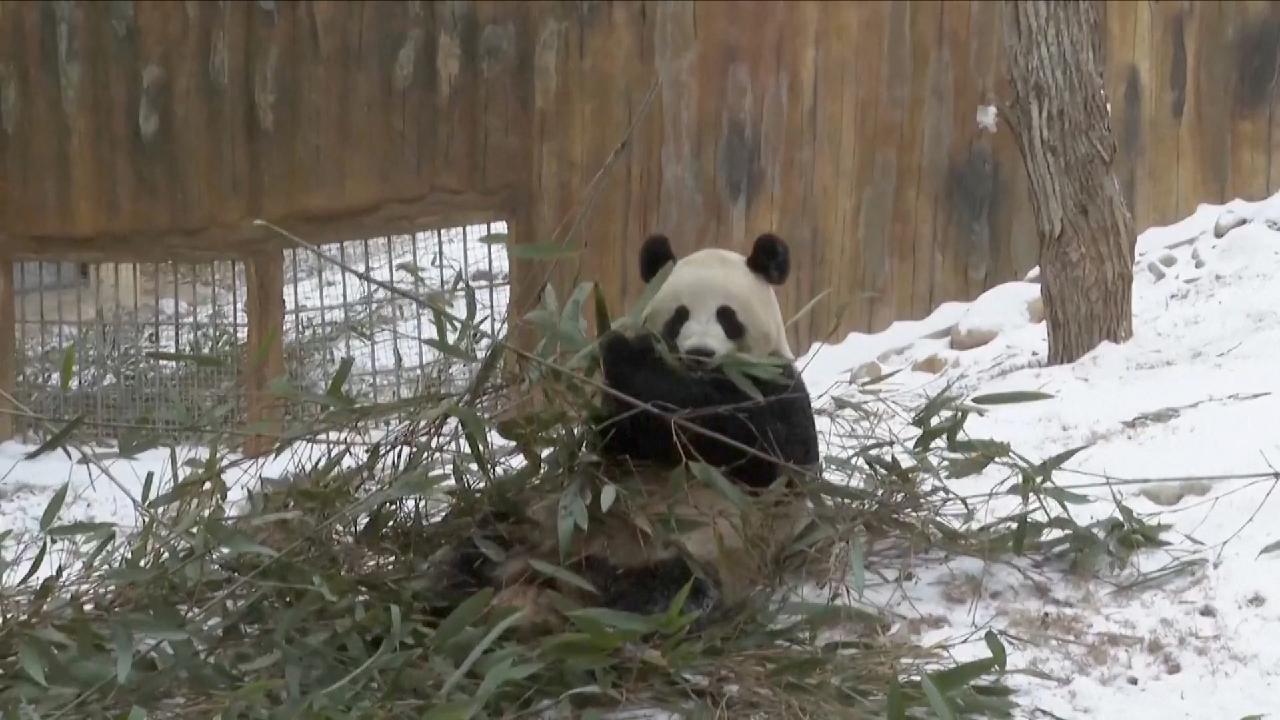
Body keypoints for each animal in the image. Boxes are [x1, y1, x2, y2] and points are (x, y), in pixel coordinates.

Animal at [429, 232, 822, 630]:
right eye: (679, 316)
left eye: (727, 316)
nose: (699, 353)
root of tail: (549, 563)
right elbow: (620, 438)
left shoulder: (776, 390)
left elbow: (743, 441)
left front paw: (625, 351)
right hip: (539, 513)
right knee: (484, 540)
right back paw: (449, 590)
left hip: (706, 550)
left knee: (667, 591)